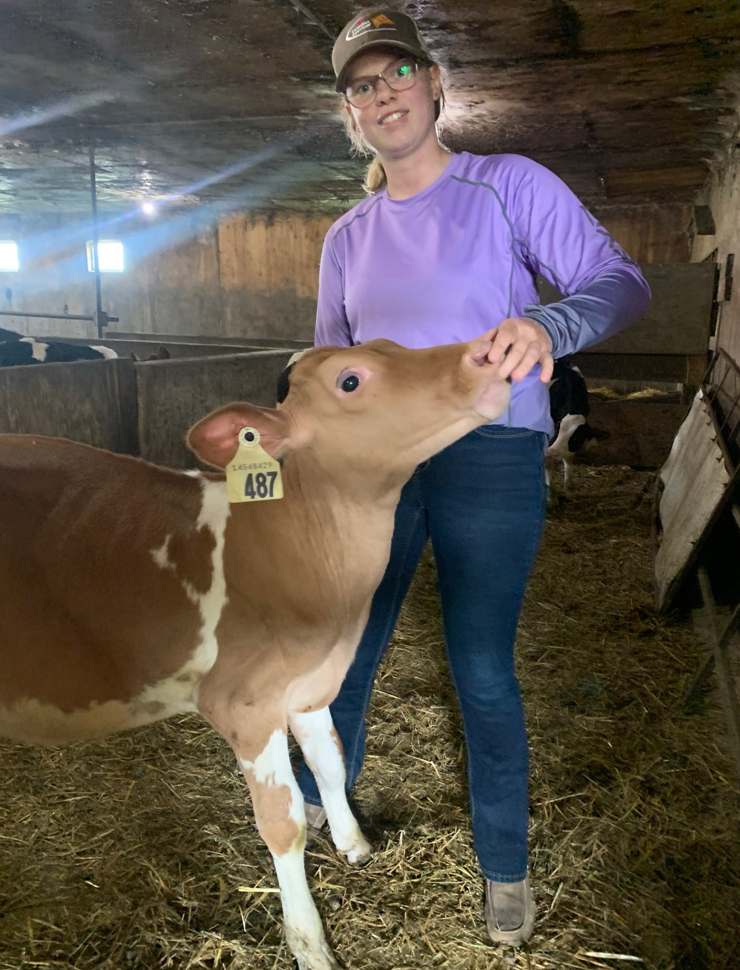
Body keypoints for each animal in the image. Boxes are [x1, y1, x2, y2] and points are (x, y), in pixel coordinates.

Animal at [0, 336, 510, 970]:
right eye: (350, 381)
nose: (487, 353)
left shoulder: (311, 684)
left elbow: (330, 762)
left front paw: (354, 843)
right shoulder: (246, 706)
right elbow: (283, 823)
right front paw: (309, 942)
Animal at [546, 358, 607, 503]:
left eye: (577, 438)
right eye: (557, 431)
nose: (552, 452)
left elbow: (569, 457)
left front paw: (570, 489)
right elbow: (548, 462)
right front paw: (551, 496)